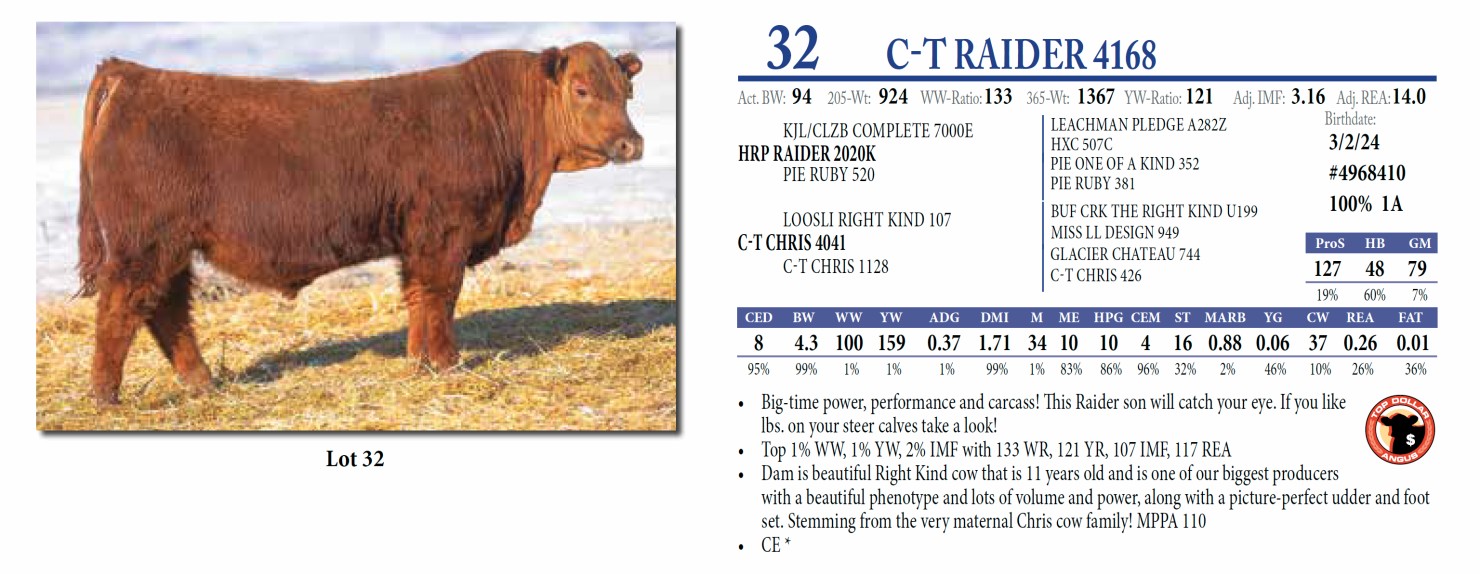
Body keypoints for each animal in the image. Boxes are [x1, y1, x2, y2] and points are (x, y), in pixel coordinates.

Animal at [76, 42, 644, 405]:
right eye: (581, 89)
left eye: (626, 91)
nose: (630, 144)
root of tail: (131, 73)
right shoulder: (445, 234)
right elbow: (441, 296)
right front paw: (448, 363)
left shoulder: (418, 241)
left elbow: (420, 299)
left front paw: (420, 362)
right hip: (144, 246)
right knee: (121, 310)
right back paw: (106, 397)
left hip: (169, 249)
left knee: (166, 311)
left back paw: (201, 384)